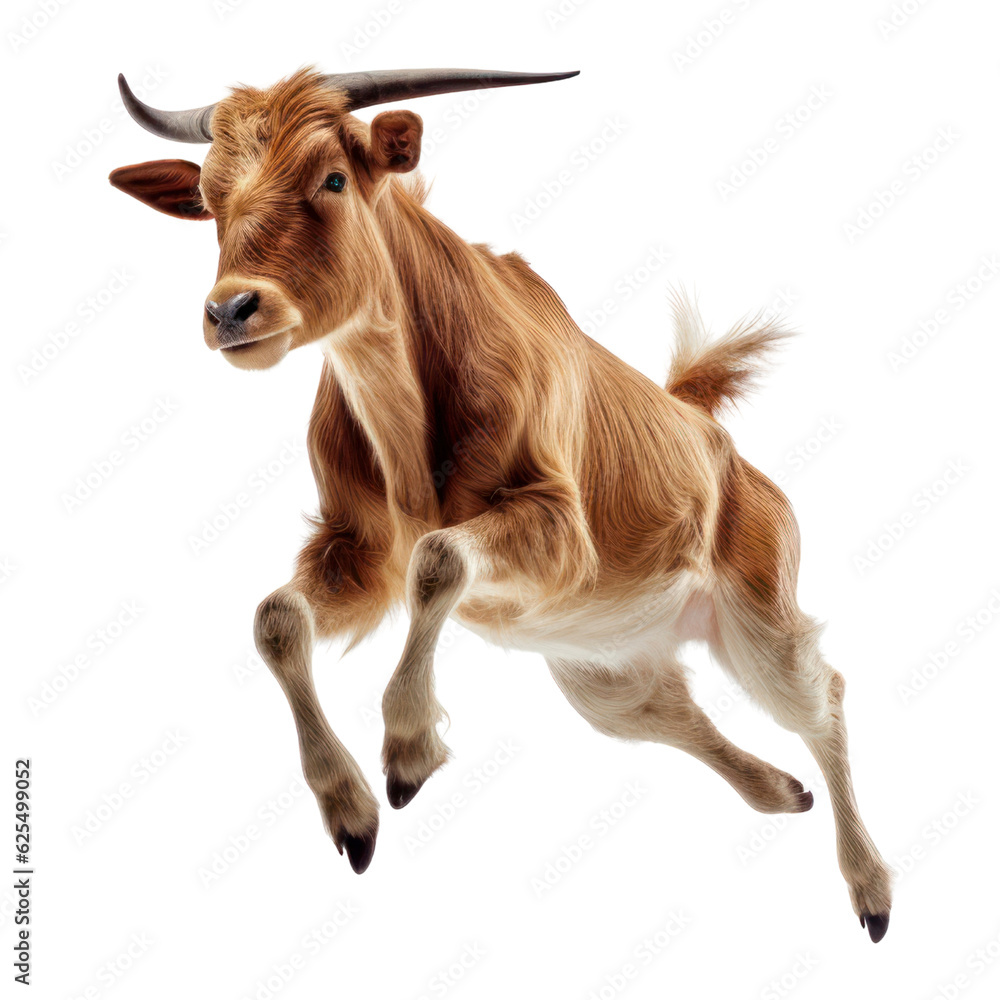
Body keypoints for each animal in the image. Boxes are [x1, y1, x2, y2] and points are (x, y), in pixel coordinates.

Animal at [110, 66, 892, 941]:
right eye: (209, 198)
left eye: (333, 179)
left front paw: (409, 747)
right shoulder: (358, 557)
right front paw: (350, 811)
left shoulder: (562, 535)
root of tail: (710, 432)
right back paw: (780, 791)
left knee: (822, 698)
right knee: (672, 711)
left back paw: (871, 890)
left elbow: (439, 556)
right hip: (599, 668)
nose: (230, 311)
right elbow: (277, 616)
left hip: (757, 618)